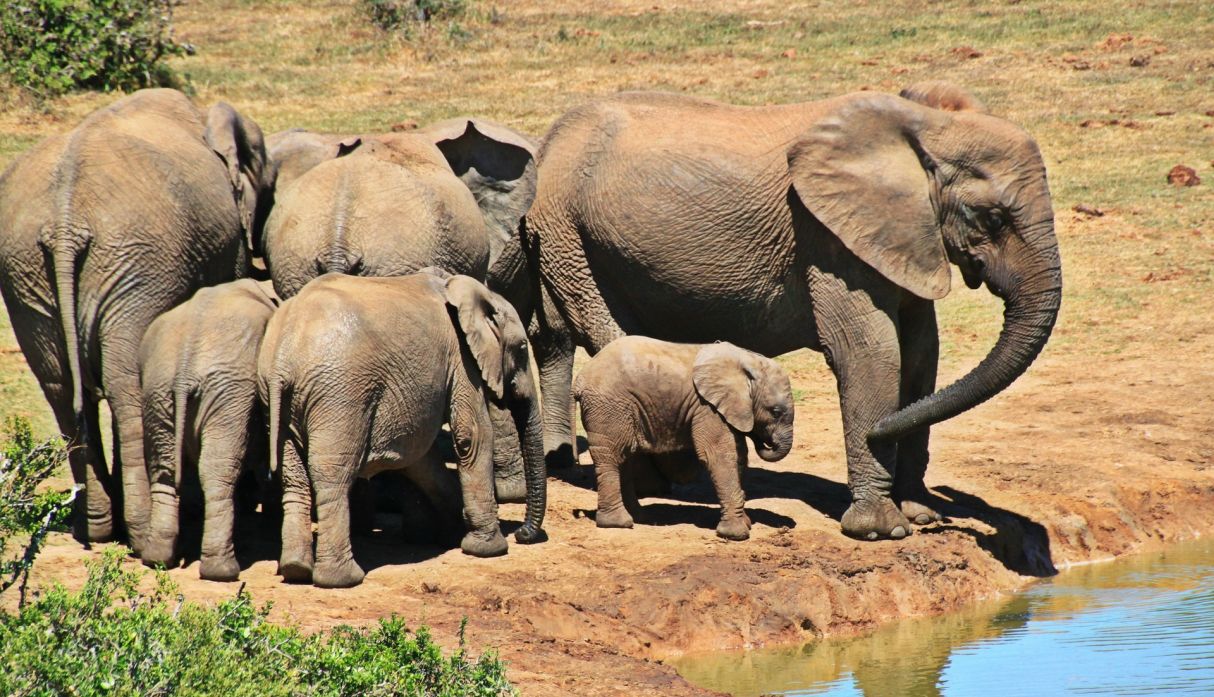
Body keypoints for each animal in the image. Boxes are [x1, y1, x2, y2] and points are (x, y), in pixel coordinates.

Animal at [0, 89, 273, 549]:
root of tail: (64, 224)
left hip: (28, 275)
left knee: (61, 389)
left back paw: (95, 527)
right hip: (137, 266)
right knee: (125, 386)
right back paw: (141, 534)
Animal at [137, 278, 279, 581]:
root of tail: (184, 370)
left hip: (157, 390)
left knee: (164, 469)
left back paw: (157, 559)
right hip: (229, 393)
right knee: (217, 471)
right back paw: (222, 571)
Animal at [257, 271, 546, 588]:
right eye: (522, 349)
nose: (522, 534)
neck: (472, 291)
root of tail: (283, 359)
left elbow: (421, 458)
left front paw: (452, 535)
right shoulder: (461, 358)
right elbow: (472, 436)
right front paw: (488, 549)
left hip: (277, 399)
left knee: (293, 478)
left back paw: (295, 570)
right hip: (340, 396)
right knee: (332, 477)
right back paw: (342, 579)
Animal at [574, 337, 794, 541]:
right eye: (775, 412)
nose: (764, 441)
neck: (748, 361)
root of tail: (580, 379)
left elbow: (739, 456)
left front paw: (746, 523)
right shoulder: (707, 408)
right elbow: (719, 457)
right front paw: (736, 535)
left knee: (625, 458)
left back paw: (639, 517)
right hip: (608, 407)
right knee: (612, 457)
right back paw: (618, 523)